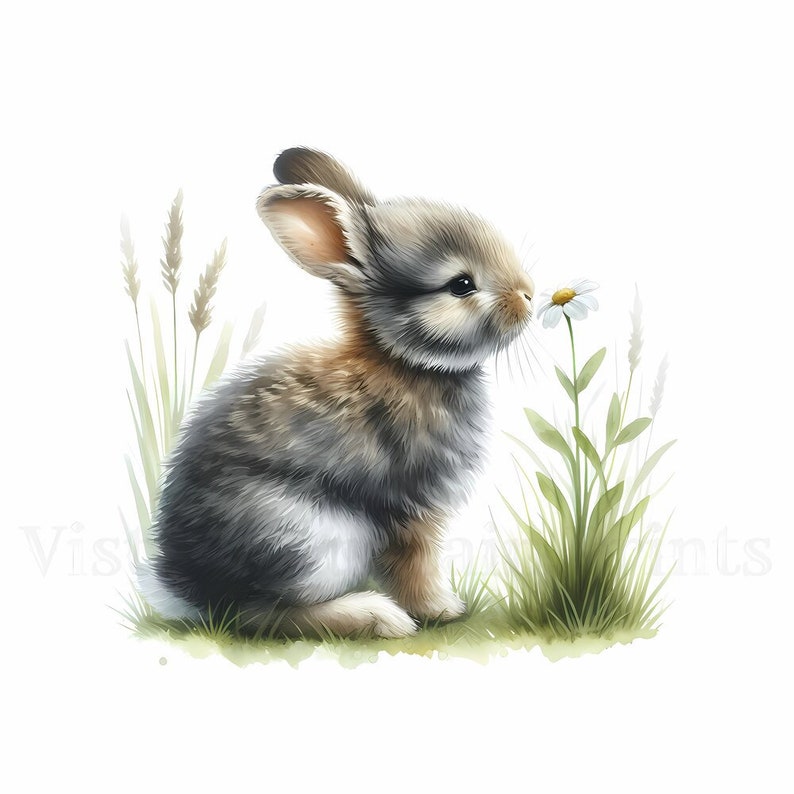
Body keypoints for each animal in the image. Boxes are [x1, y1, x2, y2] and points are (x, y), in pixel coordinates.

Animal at [137, 147, 535, 639]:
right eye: (461, 284)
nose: (528, 295)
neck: (403, 360)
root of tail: (187, 588)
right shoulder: (411, 505)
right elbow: (415, 563)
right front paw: (442, 609)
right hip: (310, 539)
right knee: (261, 615)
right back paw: (378, 617)